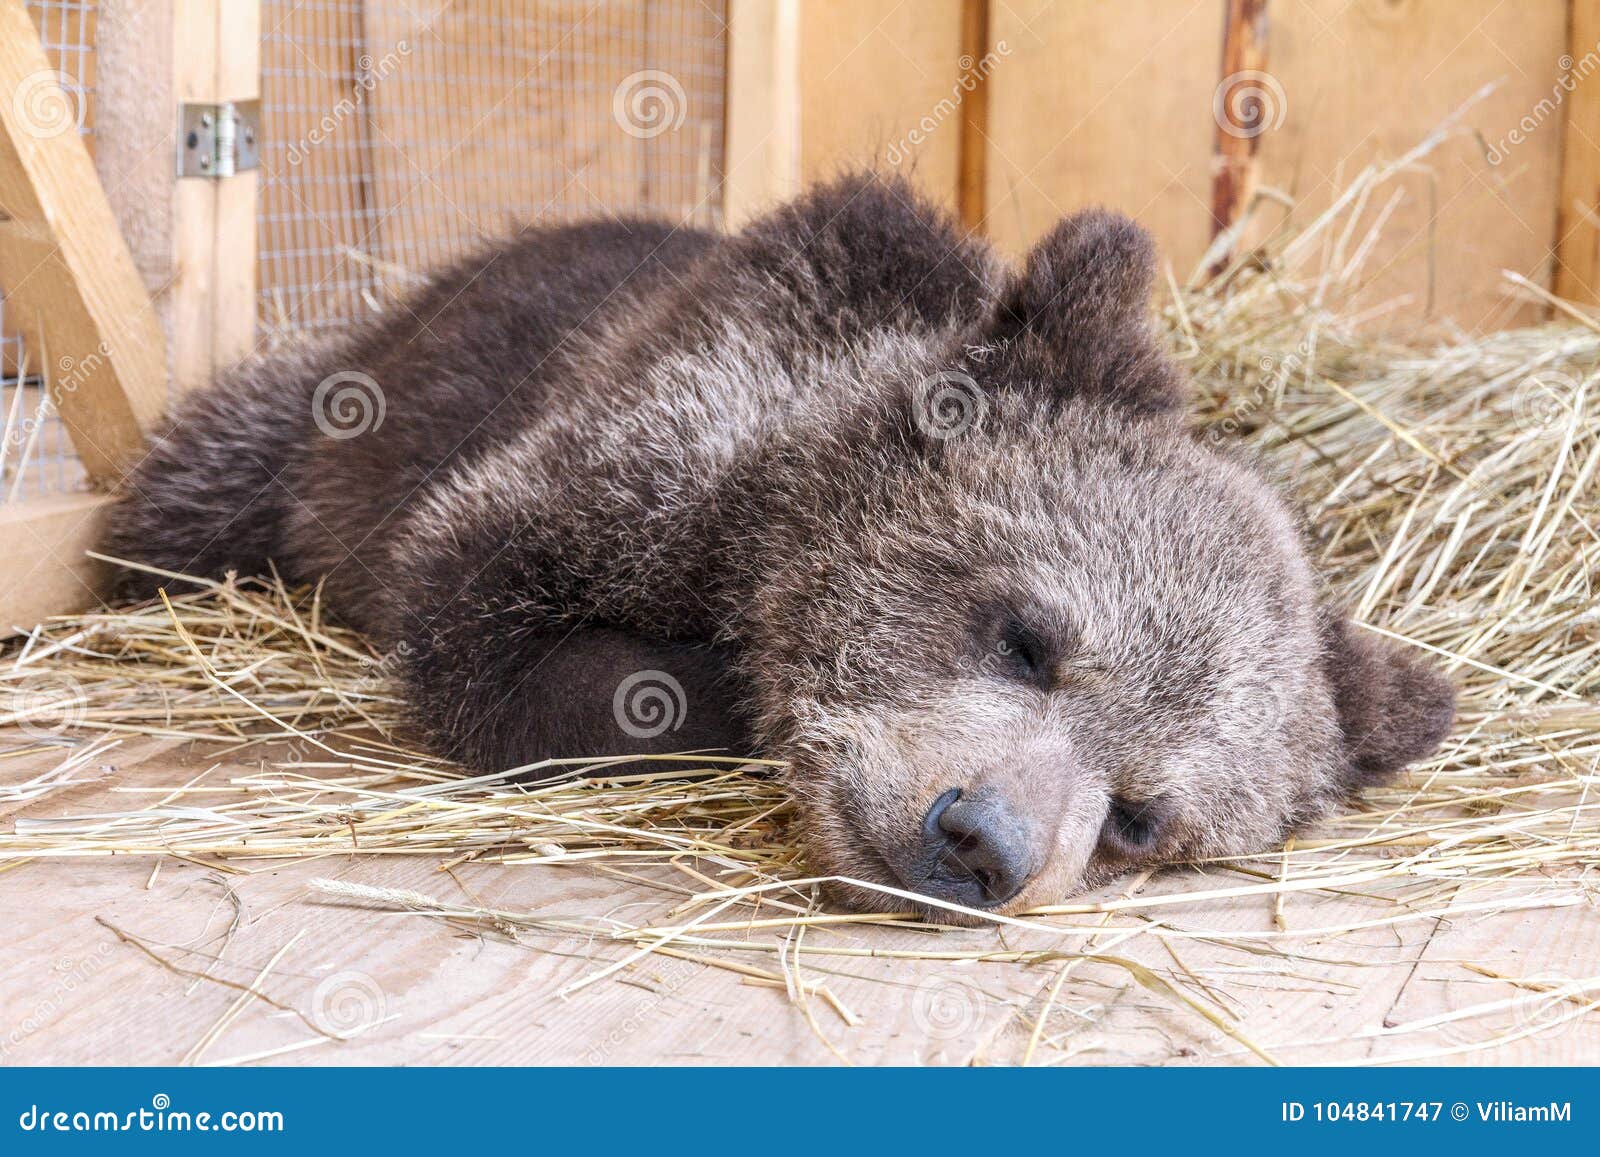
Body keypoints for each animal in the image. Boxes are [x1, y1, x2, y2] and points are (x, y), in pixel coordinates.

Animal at [100, 172, 1456, 919]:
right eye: (1026, 634)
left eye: (1138, 818)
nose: (980, 842)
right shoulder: (639, 446)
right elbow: (485, 618)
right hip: (327, 405)